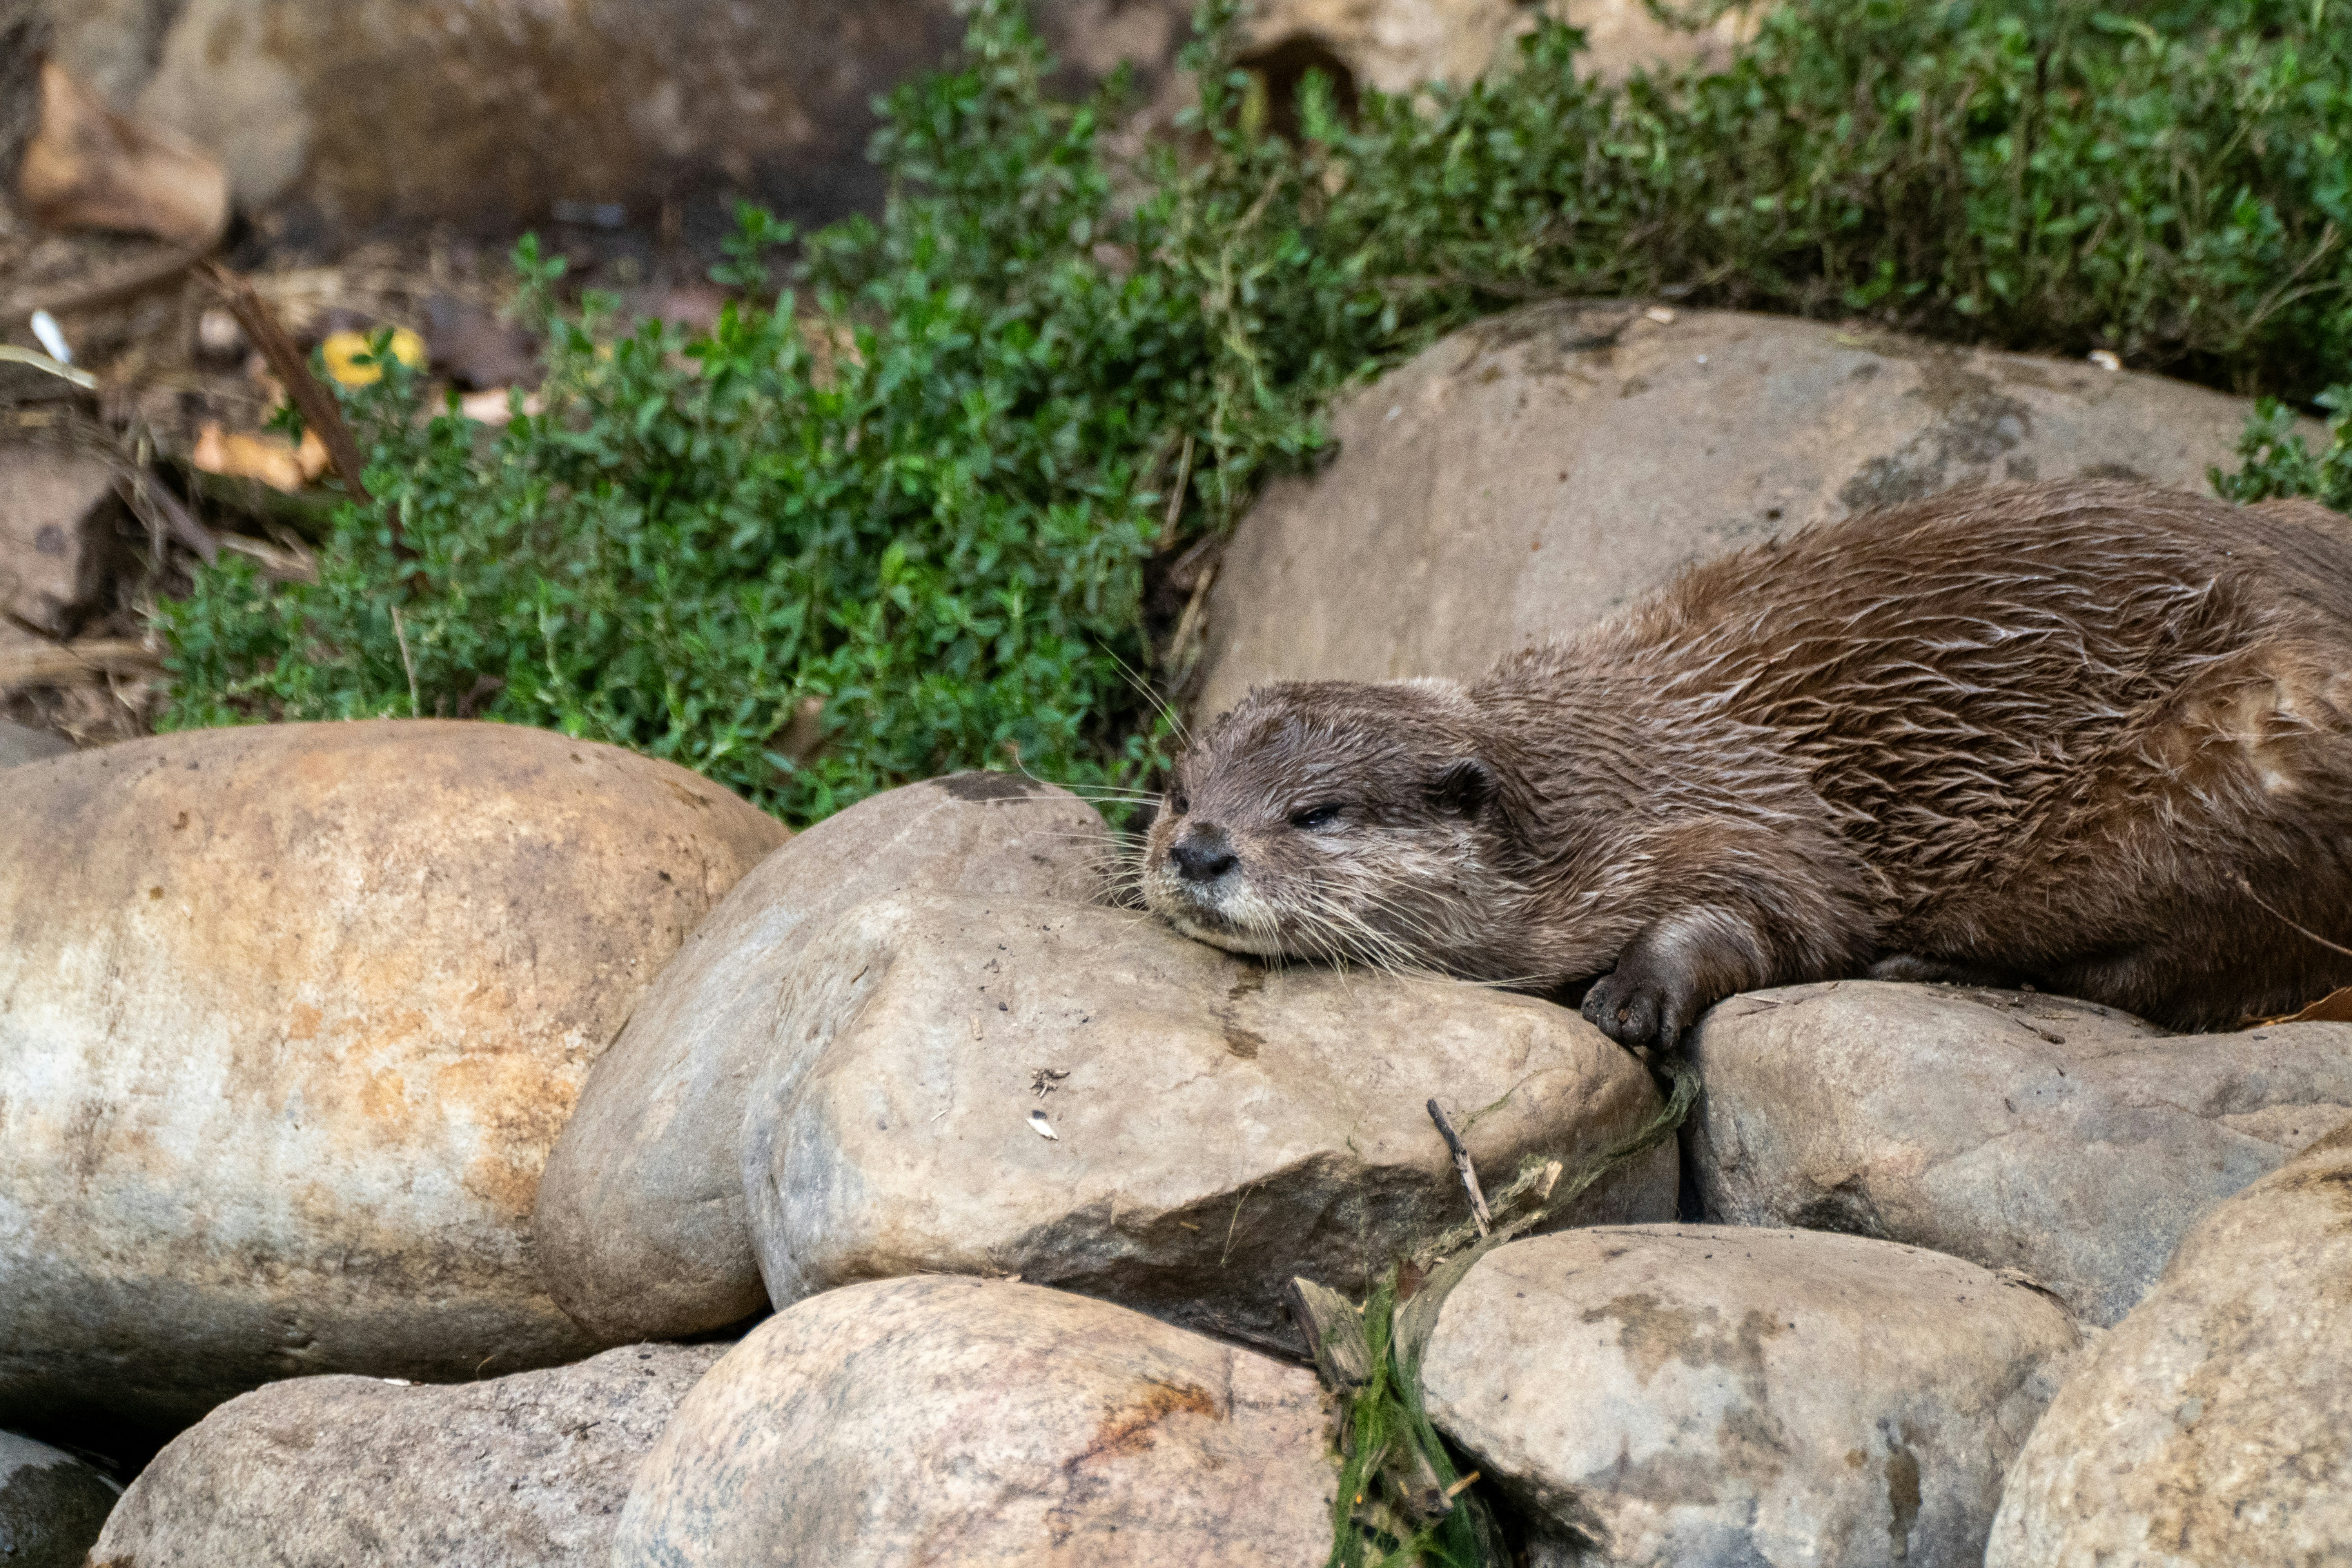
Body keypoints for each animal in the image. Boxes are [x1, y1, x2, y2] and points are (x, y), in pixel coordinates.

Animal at [1143, 480, 2352, 1047]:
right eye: (1179, 791)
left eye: (1316, 813)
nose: (1200, 851)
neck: (1596, 790)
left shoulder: (1749, 814)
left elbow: (1775, 916)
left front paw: (1636, 994)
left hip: (2242, 755)